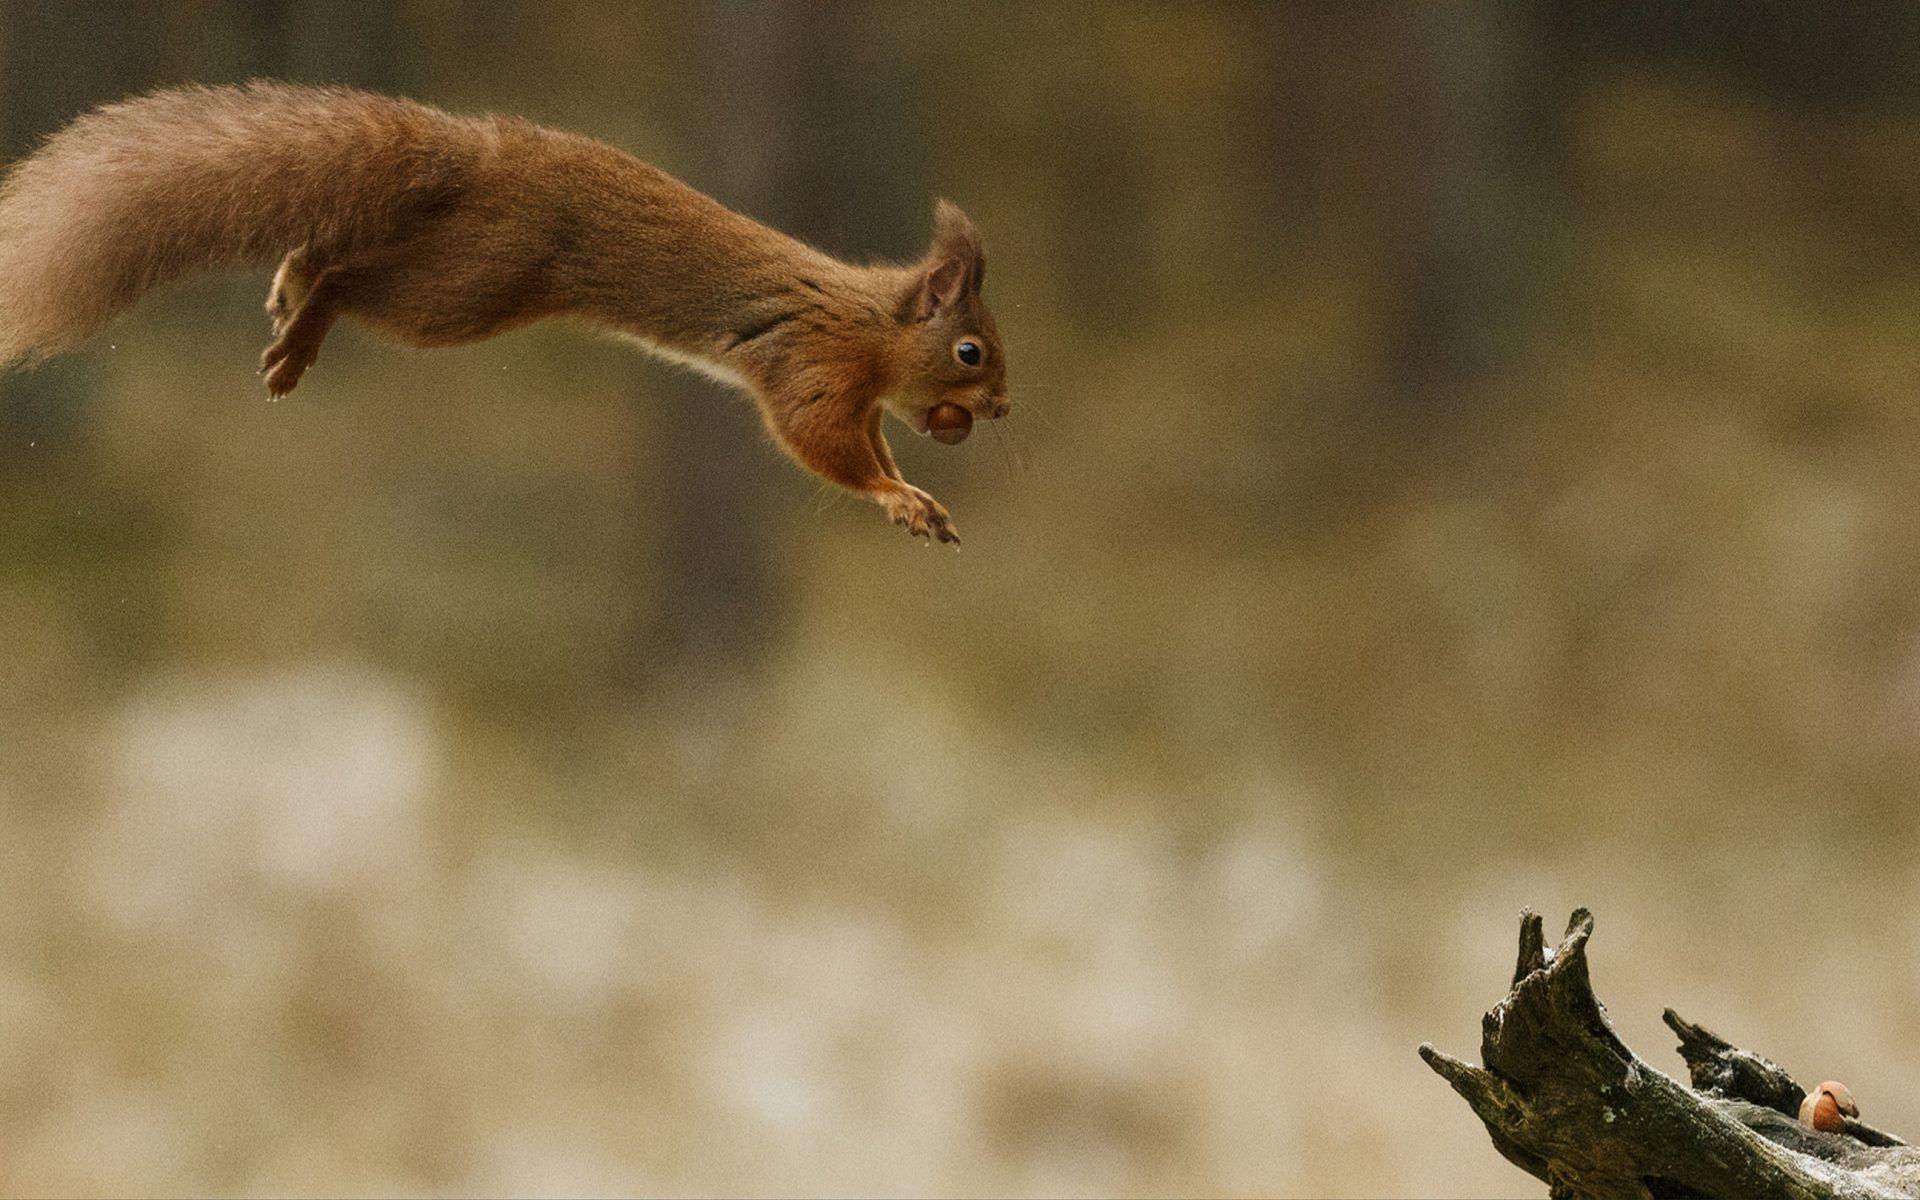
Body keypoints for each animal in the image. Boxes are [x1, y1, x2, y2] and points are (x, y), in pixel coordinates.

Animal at [0, 82, 1008, 543]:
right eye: (970, 352)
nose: (1001, 409)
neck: (874, 323)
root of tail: (481, 156)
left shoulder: (861, 397)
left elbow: (868, 446)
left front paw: (914, 497)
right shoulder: (813, 364)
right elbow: (823, 444)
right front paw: (901, 497)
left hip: (450, 258)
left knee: (330, 250)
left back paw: (288, 287)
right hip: (470, 286)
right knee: (353, 283)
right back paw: (301, 334)